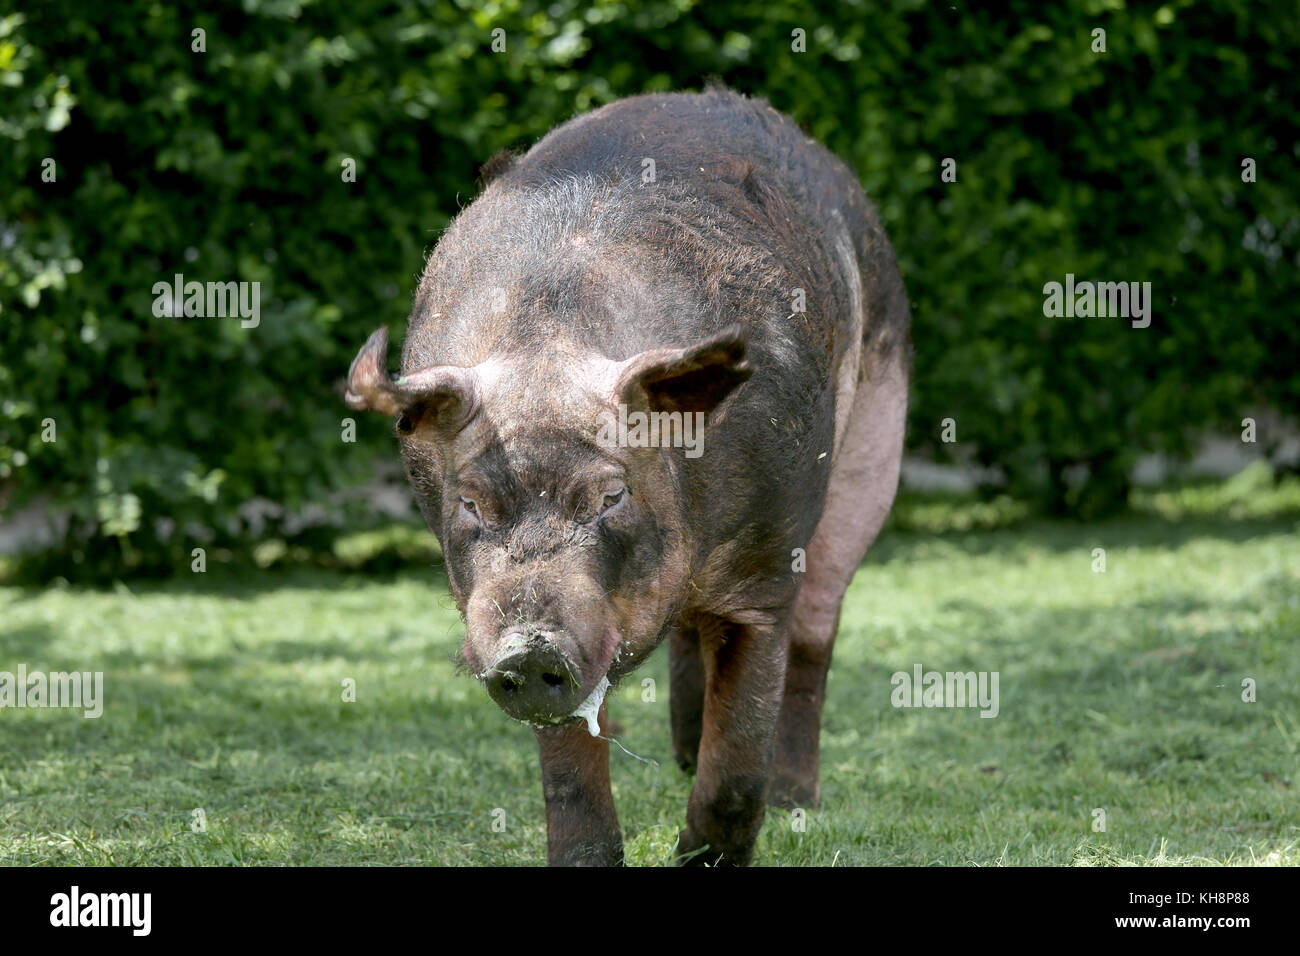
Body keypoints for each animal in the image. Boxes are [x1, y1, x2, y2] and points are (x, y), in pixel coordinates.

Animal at [344, 86, 911, 866]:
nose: (529, 647)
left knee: (817, 630)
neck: (552, 346)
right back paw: (683, 757)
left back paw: (799, 799)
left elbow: (743, 748)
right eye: (472, 504)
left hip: (874, 448)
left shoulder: (768, 562)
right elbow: (572, 763)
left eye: (610, 495)